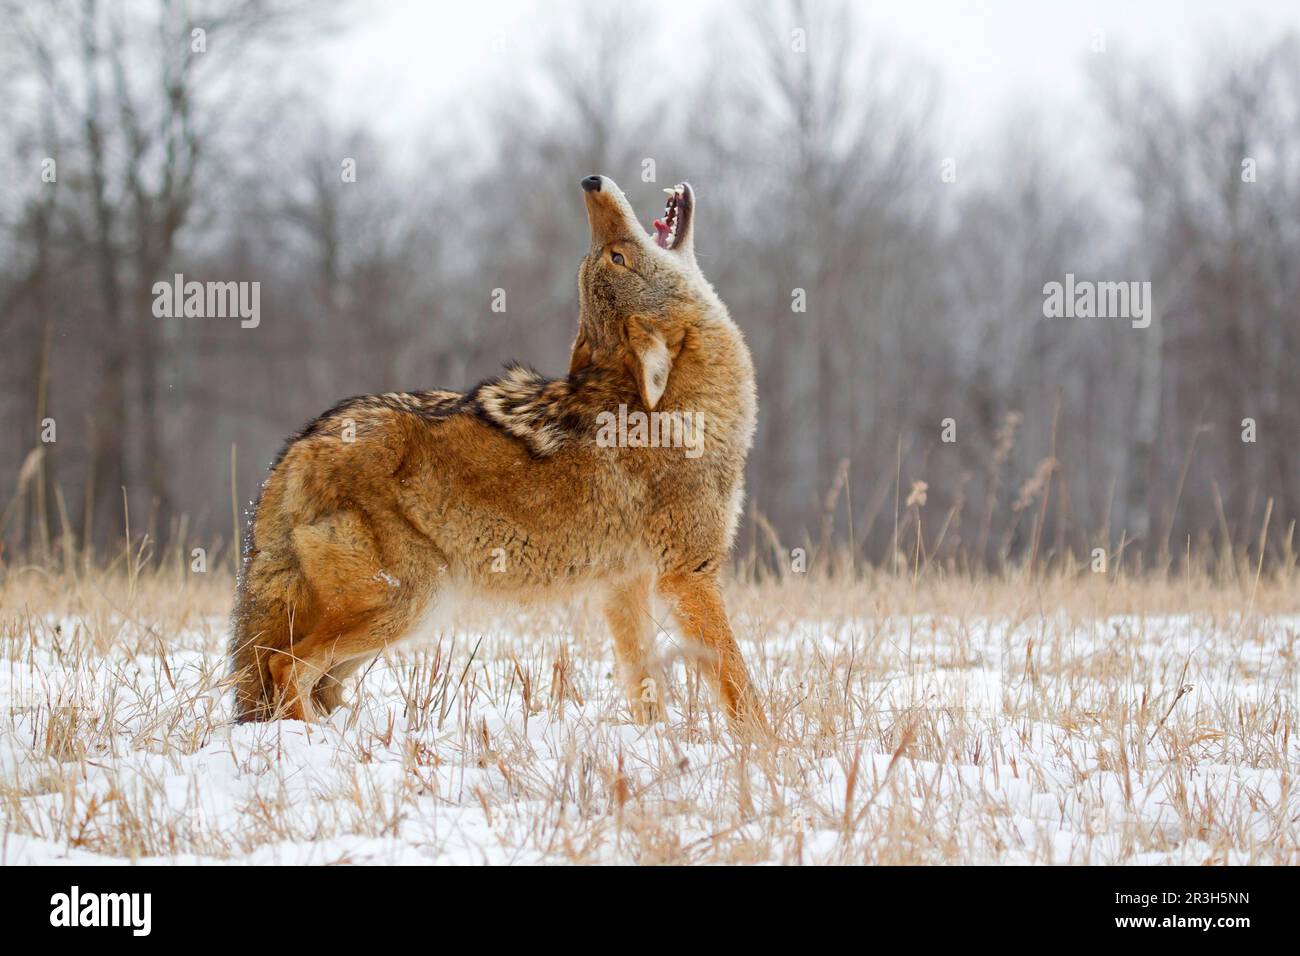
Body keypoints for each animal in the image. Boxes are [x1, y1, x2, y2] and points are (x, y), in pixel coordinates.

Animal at [228, 175, 767, 737]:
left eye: (617, 256)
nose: (590, 182)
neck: (680, 408)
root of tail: (301, 444)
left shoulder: (624, 586)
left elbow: (646, 687)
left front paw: (652, 742)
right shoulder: (689, 576)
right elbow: (740, 685)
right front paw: (765, 747)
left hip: (396, 620)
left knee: (309, 678)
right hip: (408, 601)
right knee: (284, 665)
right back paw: (309, 739)